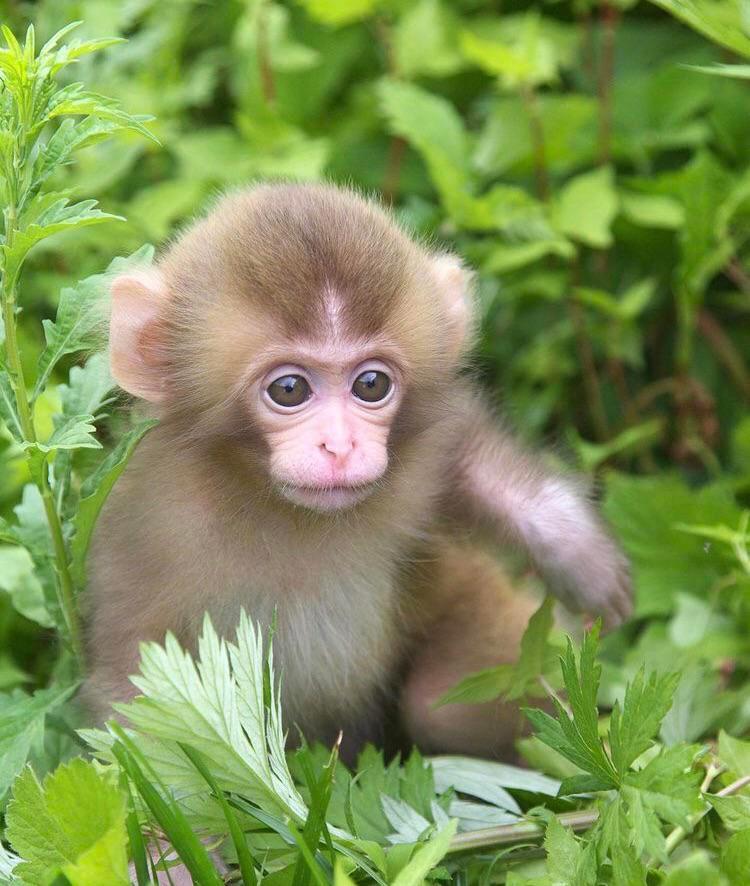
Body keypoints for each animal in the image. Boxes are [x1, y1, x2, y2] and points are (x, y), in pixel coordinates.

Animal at [84, 182, 631, 760]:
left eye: (371, 384)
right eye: (289, 389)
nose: (340, 446)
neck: (277, 503)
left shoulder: (421, 464)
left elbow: (465, 457)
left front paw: (576, 550)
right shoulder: (143, 535)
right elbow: (141, 700)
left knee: (440, 709)